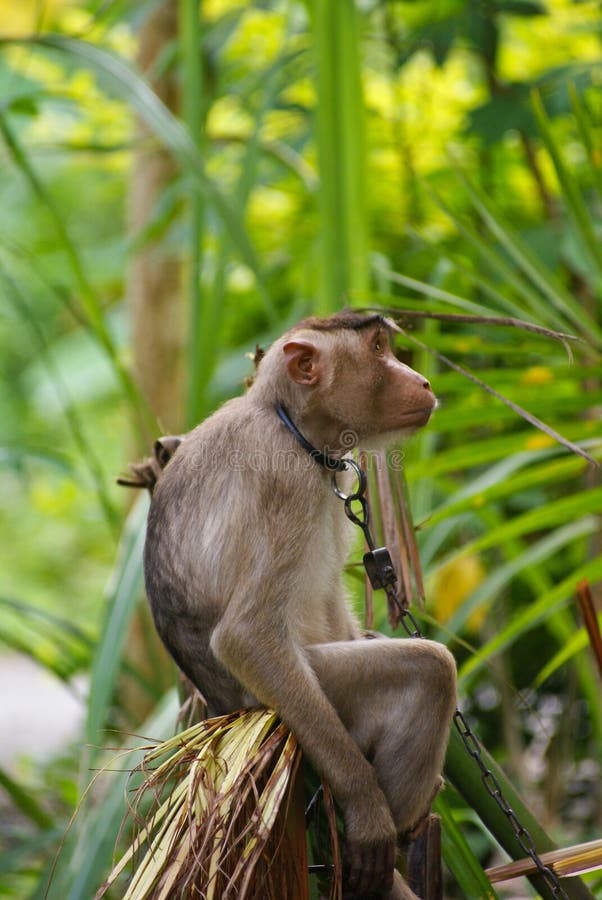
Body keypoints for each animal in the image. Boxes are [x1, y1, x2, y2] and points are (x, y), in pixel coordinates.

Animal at [143, 311, 457, 899]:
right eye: (377, 349)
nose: (422, 381)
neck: (288, 420)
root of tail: (226, 708)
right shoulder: (283, 480)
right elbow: (246, 635)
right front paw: (367, 811)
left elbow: (329, 592)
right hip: (304, 700)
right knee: (428, 669)